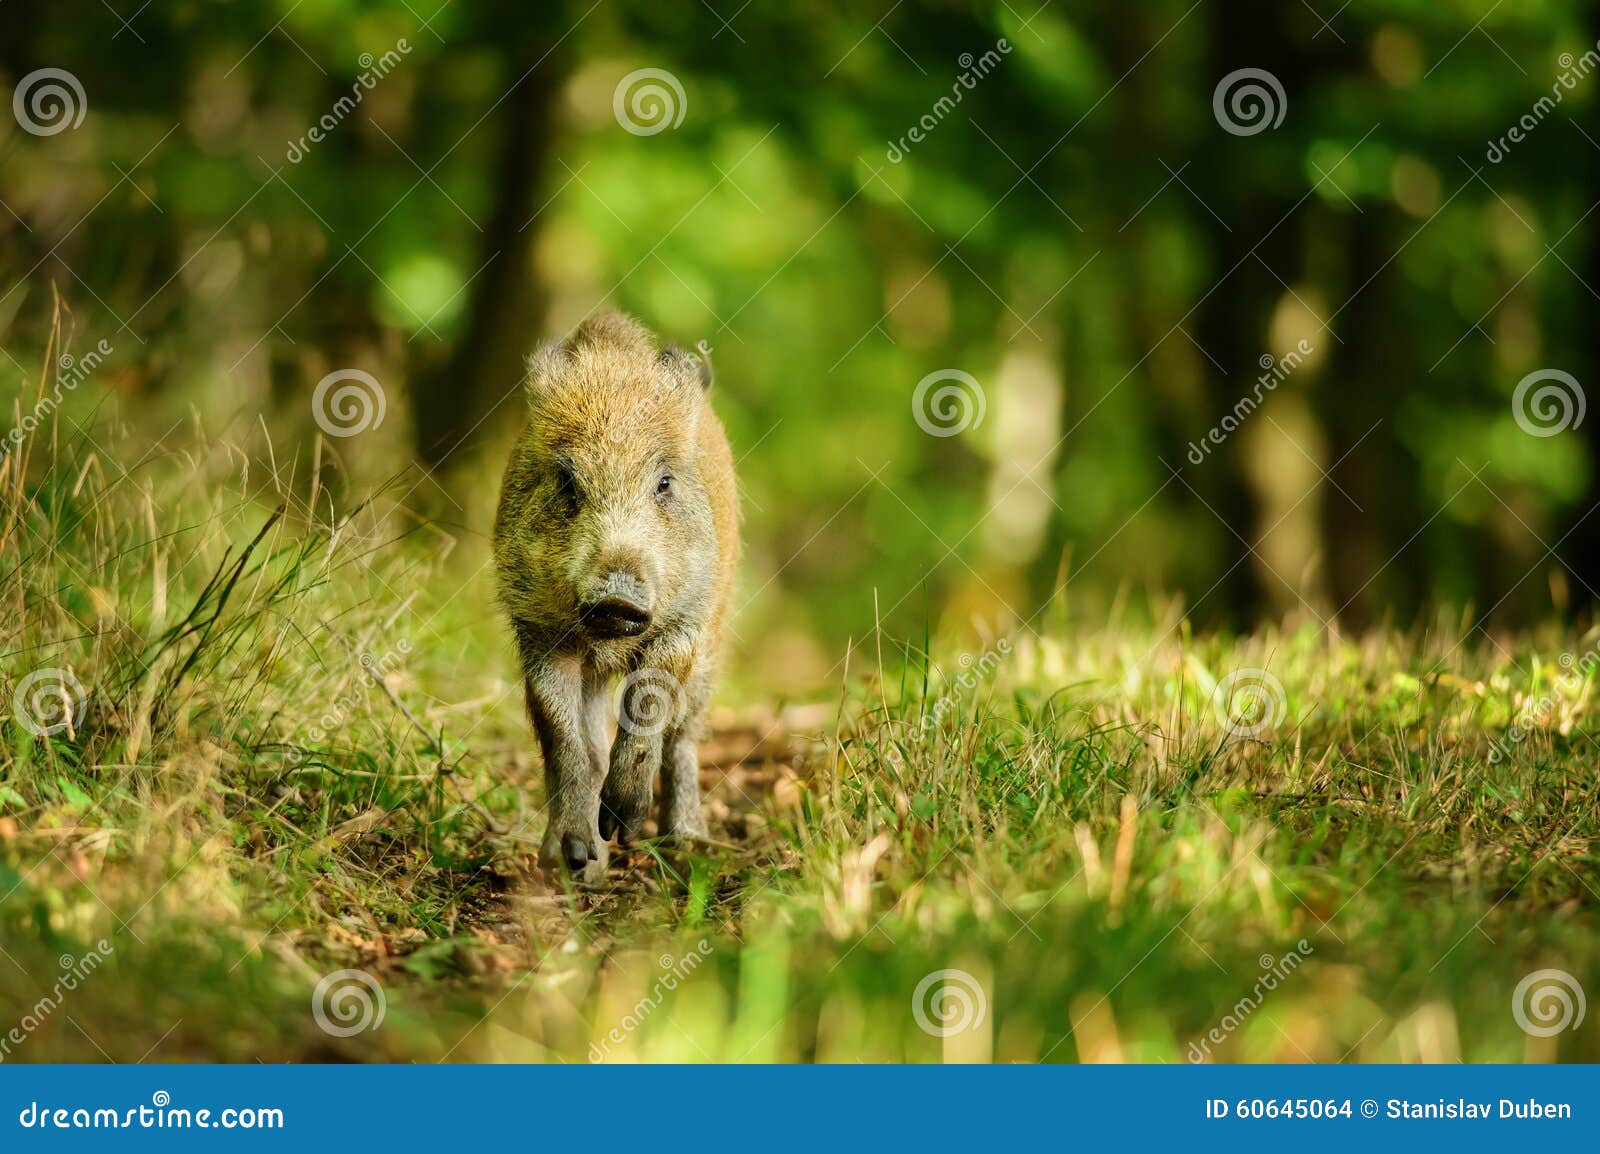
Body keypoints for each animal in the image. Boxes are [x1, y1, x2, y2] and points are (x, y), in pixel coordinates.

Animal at [493, 311, 739, 878]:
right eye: (567, 480)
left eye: (664, 482)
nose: (617, 598)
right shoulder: (538, 627)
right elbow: (566, 738)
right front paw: (577, 854)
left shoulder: (688, 618)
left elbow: (649, 699)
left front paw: (624, 825)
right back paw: (581, 863)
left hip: (714, 643)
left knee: (685, 734)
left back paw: (687, 844)